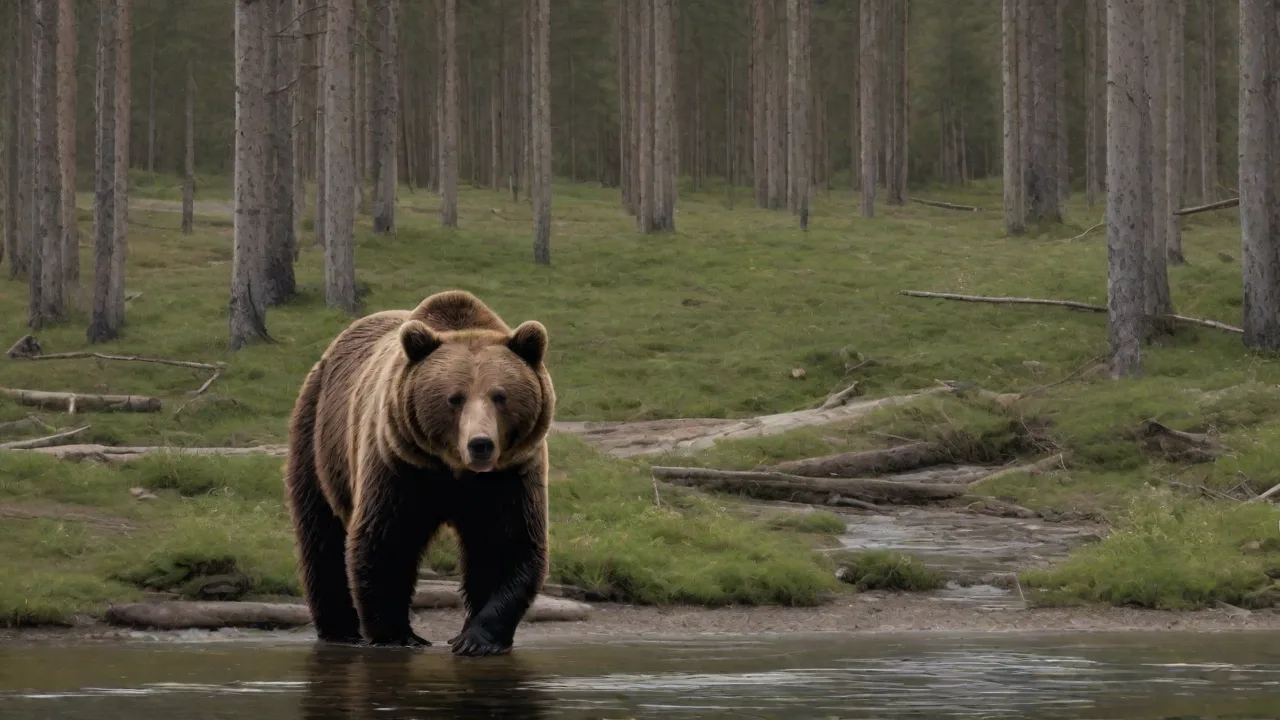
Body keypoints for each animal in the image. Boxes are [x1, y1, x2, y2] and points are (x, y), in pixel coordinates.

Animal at [282, 290, 555, 656]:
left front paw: (476, 639)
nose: (480, 444)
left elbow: (506, 543)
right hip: (317, 438)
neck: (454, 471)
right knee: (321, 535)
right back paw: (340, 629)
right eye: (455, 398)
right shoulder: (400, 466)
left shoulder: (510, 474)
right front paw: (397, 635)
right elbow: (387, 538)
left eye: (500, 396)